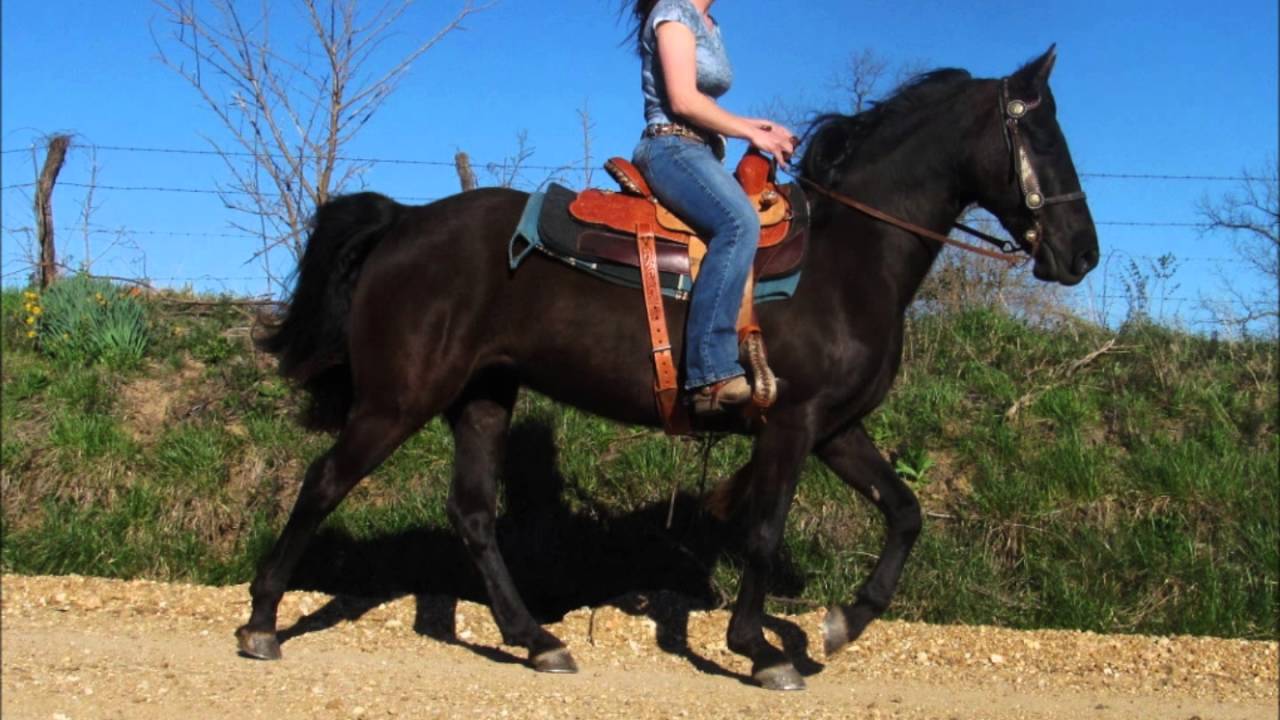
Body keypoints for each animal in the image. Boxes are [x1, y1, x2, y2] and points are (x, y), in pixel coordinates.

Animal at [236, 46, 1099, 691]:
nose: (1082, 254)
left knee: (473, 514)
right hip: (398, 399)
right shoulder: (790, 424)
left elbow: (906, 513)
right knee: (324, 482)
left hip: (482, 397)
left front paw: (841, 623)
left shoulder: (836, 428)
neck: (850, 258)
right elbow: (762, 531)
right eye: (1046, 137)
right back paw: (261, 622)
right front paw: (760, 650)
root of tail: (408, 221)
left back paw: (537, 639)